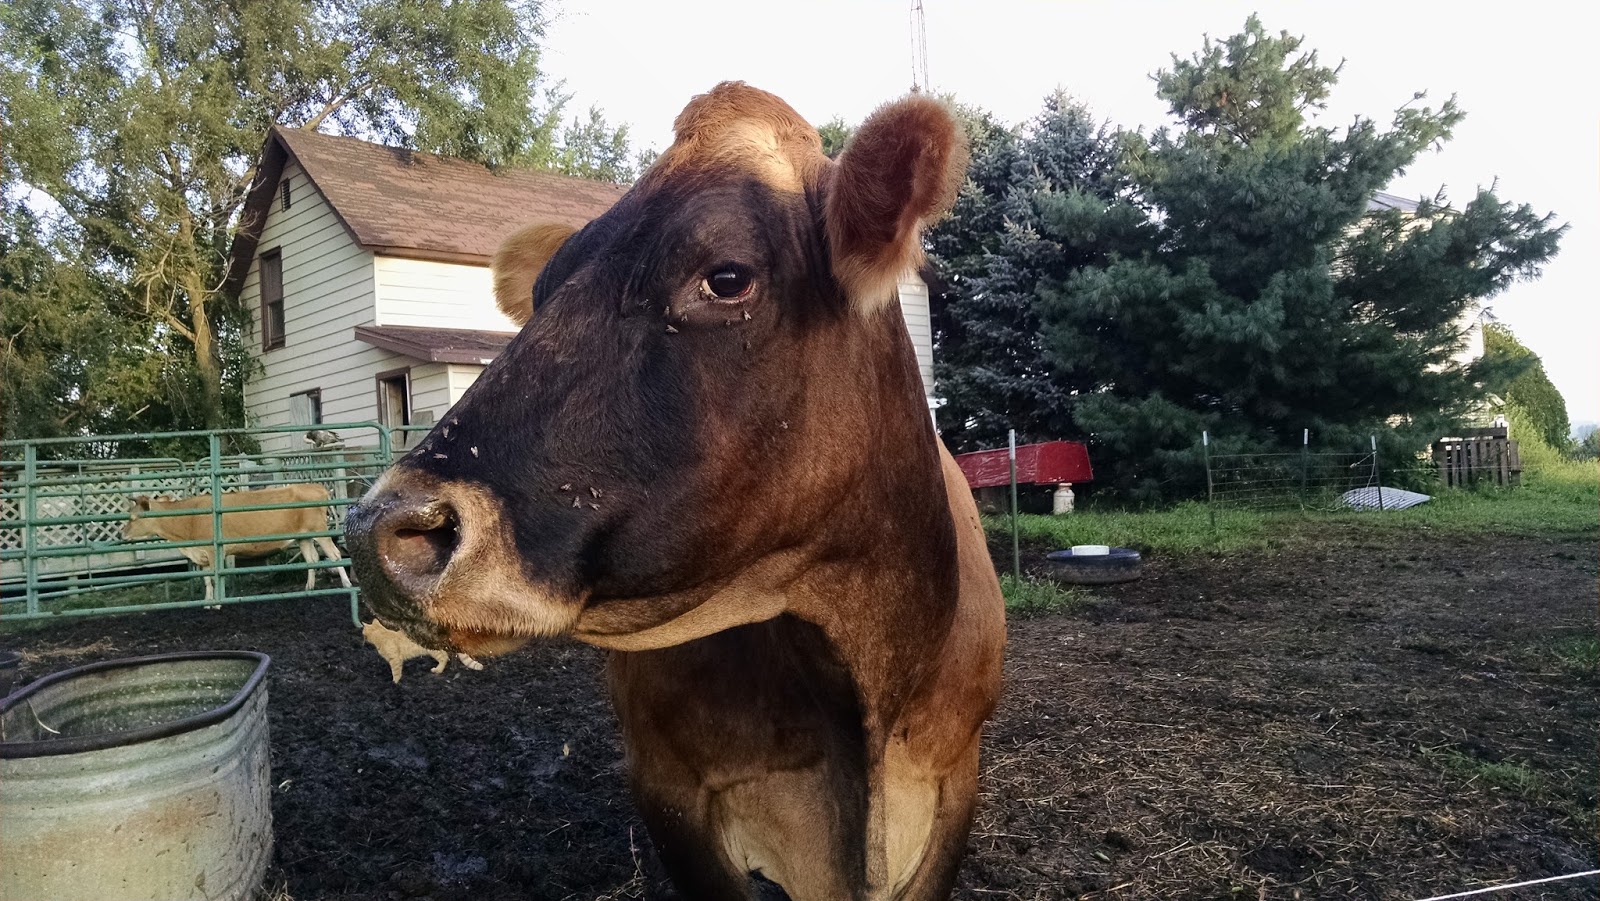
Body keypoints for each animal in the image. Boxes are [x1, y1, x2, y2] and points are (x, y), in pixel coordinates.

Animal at [123, 483, 352, 600]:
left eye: (133, 517)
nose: (123, 533)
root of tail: (317, 487)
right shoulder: (202, 555)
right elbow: (207, 581)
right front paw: (207, 603)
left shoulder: (213, 551)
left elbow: (215, 578)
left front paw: (217, 603)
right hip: (303, 537)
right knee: (311, 559)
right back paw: (309, 589)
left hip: (320, 531)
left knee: (334, 555)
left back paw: (347, 584)